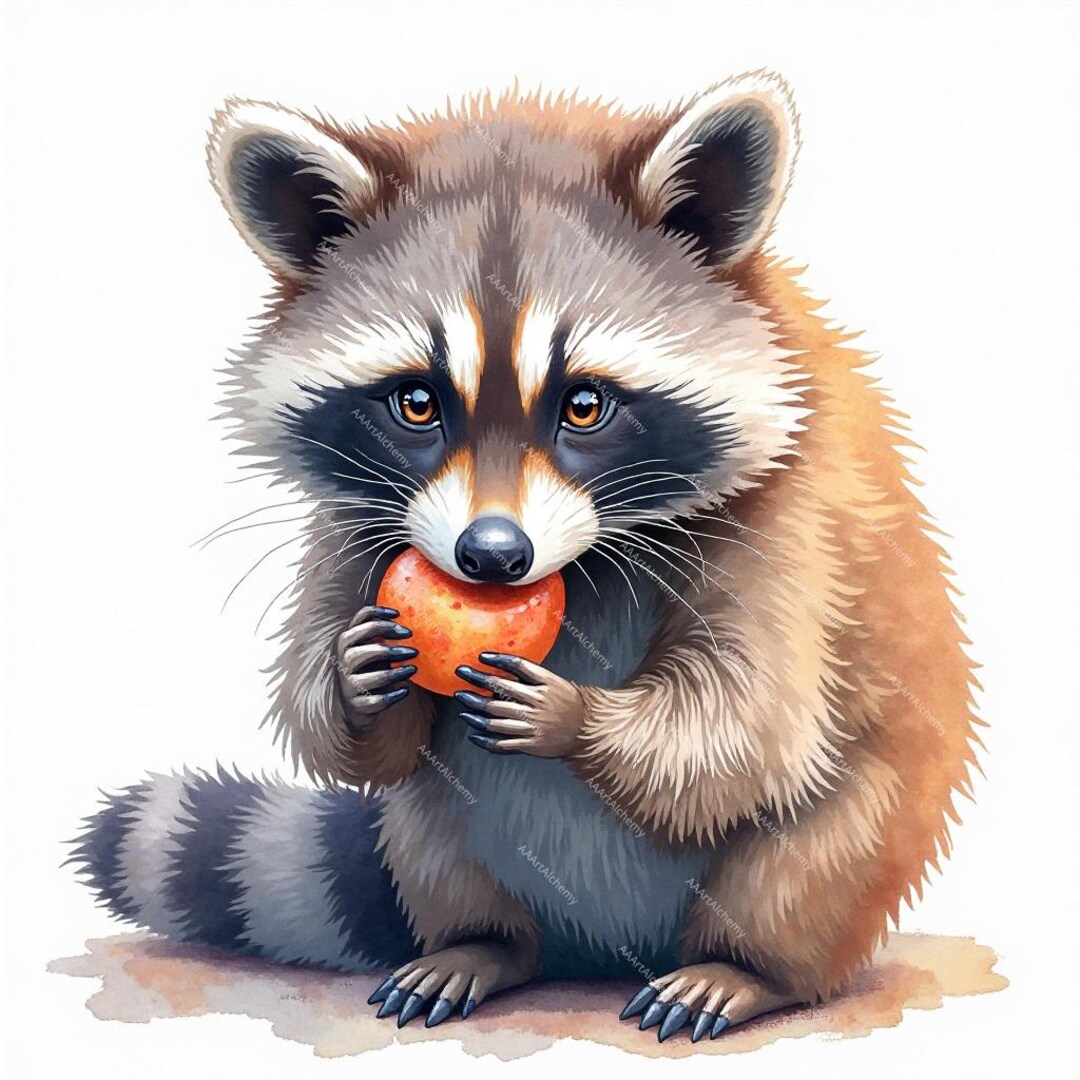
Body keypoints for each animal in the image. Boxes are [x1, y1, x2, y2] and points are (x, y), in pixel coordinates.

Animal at [73, 72, 981, 1044]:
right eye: (417, 403)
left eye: (584, 405)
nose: (492, 555)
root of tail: (605, 949)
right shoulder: (359, 517)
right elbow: (342, 726)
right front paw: (351, 683)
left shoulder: (790, 513)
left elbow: (748, 723)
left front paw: (574, 718)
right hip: (448, 846)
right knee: (435, 823)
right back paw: (486, 944)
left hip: (866, 838)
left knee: (809, 851)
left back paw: (749, 968)